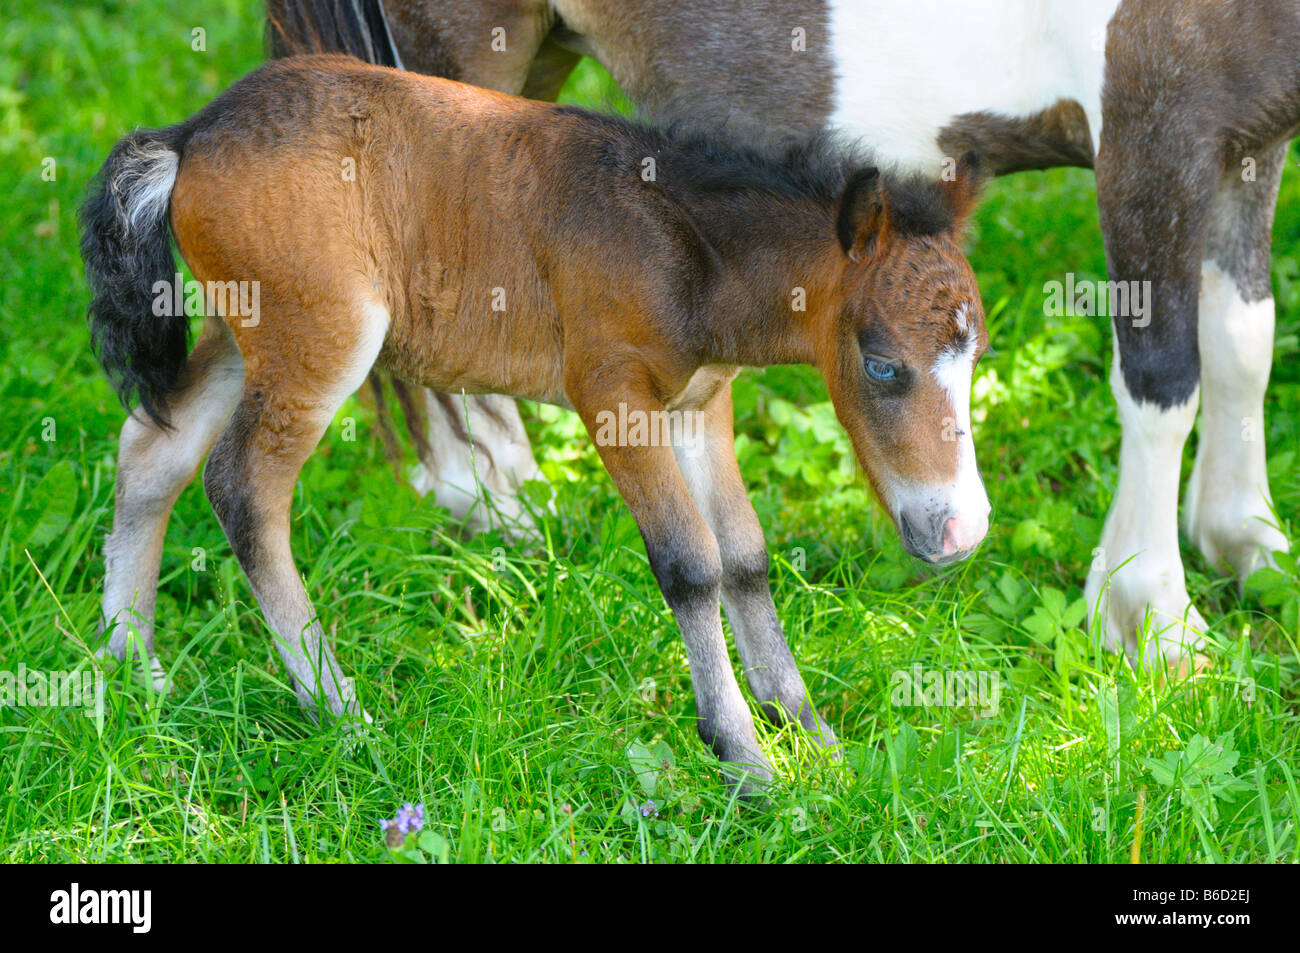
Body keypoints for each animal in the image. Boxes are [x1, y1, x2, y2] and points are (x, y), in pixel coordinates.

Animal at [81, 54, 987, 792]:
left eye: (974, 356)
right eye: (882, 365)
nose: (962, 530)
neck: (688, 246)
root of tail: (189, 136)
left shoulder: (699, 404)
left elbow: (745, 557)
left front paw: (811, 734)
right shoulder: (611, 393)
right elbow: (690, 563)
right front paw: (745, 758)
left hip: (244, 333)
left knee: (152, 449)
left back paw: (133, 668)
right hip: (324, 336)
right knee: (243, 487)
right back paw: (341, 711)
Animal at [269, 0, 1300, 674]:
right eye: (882, 366)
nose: (958, 530)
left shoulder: (1248, 141)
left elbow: (1244, 337)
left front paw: (1245, 541)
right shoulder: (1154, 122)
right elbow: (1163, 376)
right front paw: (1151, 617)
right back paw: (493, 502)